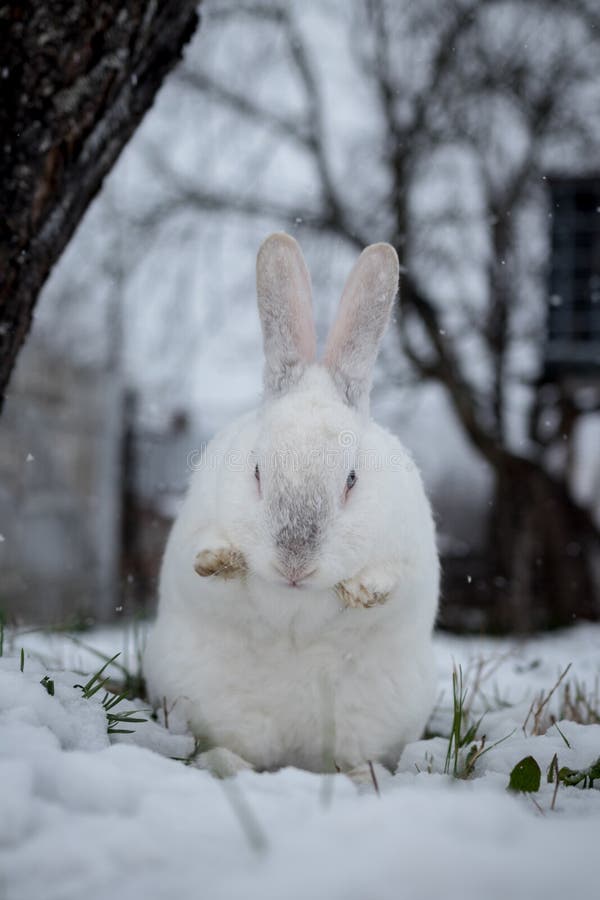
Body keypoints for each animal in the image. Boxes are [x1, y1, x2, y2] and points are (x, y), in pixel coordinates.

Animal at [143, 233, 439, 775]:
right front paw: (219, 560)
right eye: (258, 472)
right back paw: (228, 766)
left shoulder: (411, 556)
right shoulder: (192, 531)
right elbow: (201, 565)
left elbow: (397, 582)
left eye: (351, 480)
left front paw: (364, 590)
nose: (294, 564)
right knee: (229, 748)